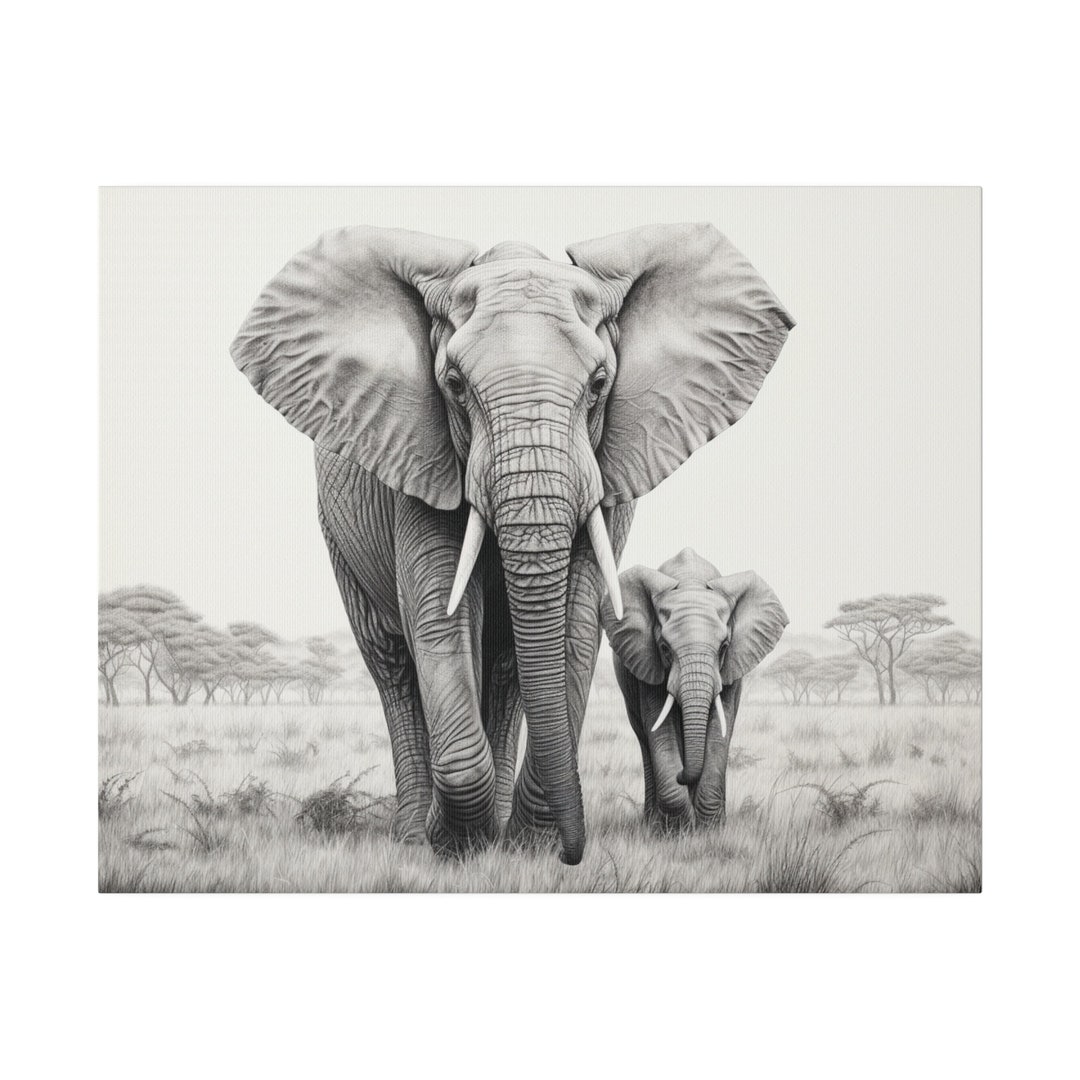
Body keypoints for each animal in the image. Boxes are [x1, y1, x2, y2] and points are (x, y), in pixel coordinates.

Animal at [601, 549, 788, 829]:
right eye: (665, 648)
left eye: (724, 647)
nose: (683, 775)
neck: (691, 581)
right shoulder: (647, 662)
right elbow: (661, 730)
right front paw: (677, 829)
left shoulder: (730, 668)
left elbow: (719, 730)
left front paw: (710, 828)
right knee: (645, 741)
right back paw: (652, 822)